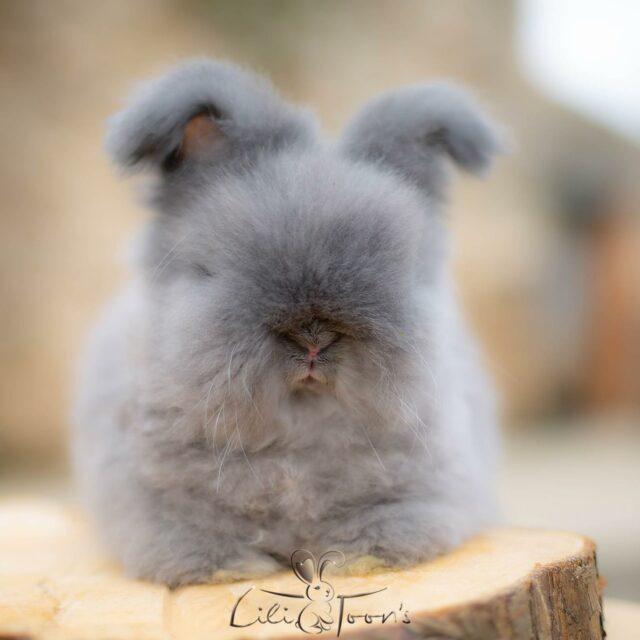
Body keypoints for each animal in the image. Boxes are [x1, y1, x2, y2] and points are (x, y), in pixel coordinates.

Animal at [72, 58, 502, 587]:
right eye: (209, 268)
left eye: (405, 267)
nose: (314, 338)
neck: (299, 435)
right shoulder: (148, 494)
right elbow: (190, 531)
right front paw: (229, 569)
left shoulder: (430, 485)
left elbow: (390, 520)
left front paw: (359, 559)